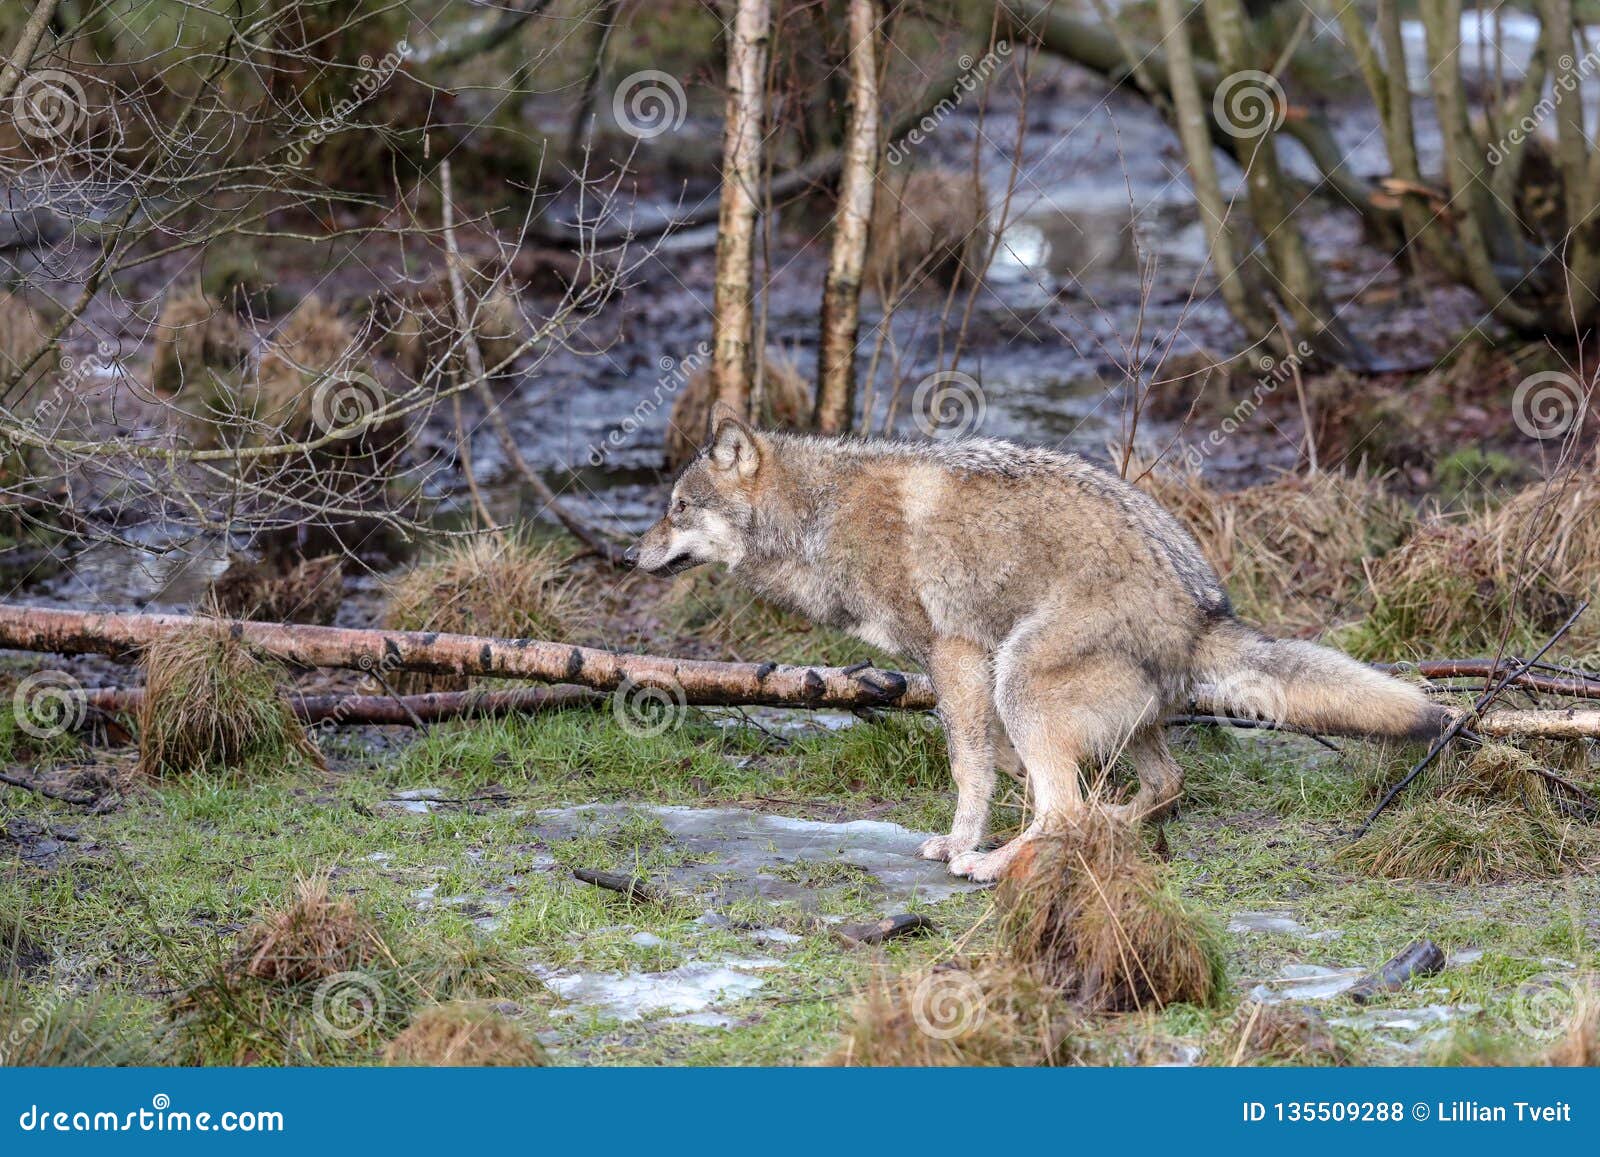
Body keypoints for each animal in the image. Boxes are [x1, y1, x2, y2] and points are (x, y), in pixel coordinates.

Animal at [626, 405, 1448, 882]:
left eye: (677, 508)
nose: (630, 554)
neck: (818, 515)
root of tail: (1202, 610)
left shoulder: (957, 655)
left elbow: (969, 766)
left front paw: (965, 844)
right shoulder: (965, 670)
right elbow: (996, 760)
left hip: (1020, 678)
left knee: (1069, 810)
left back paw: (996, 866)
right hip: (1109, 714)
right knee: (1153, 789)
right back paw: (1105, 831)